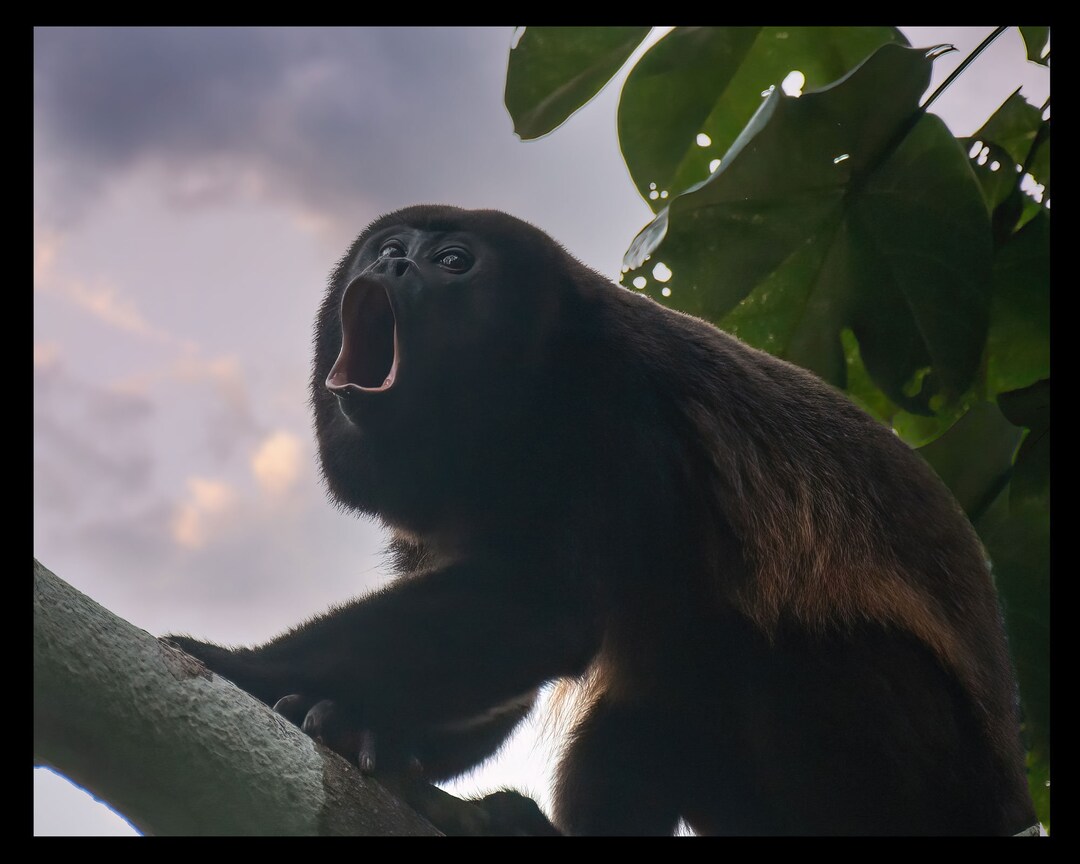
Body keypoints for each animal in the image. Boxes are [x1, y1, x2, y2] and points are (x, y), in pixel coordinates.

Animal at [169, 204, 1036, 835]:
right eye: (388, 246)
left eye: (453, 261)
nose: (391, 264)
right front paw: (366, 731)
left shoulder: (608, 412)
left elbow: (540, 610)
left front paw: (243, 665)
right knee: (642, 715)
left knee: (772, 653)